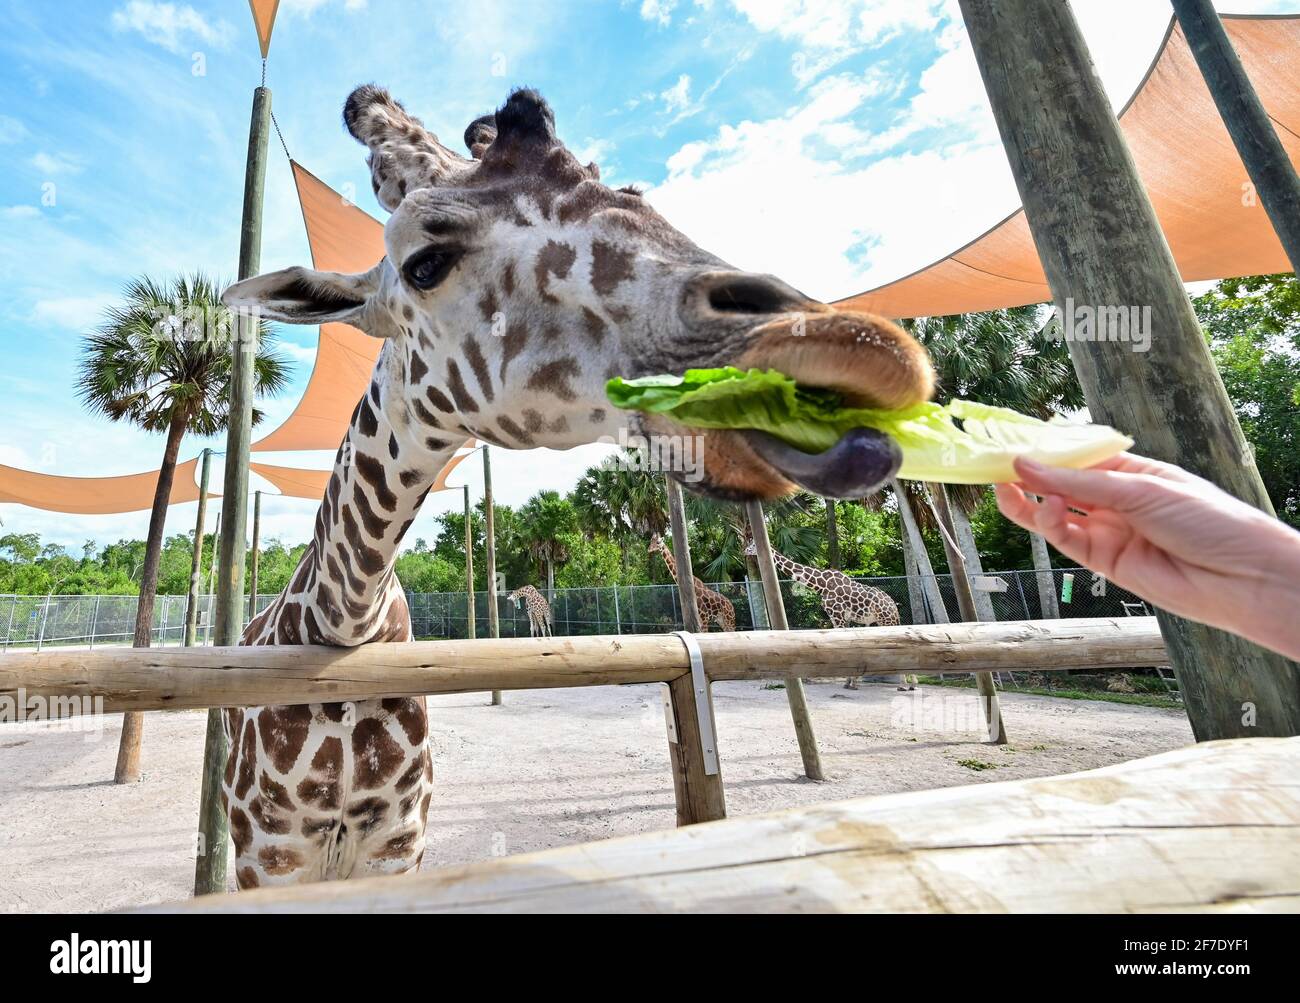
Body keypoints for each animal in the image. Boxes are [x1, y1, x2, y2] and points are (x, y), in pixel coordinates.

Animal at [743, 536, 911, 690]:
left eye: (753, 545)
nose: (744, 551)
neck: (821, 584)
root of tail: (893, 606)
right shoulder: (839, 617)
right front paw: (849, 681)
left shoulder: (837, 615)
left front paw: (850, 682)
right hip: (885, 621)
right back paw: (909, 684)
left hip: (886, 620)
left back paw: (904, 685)